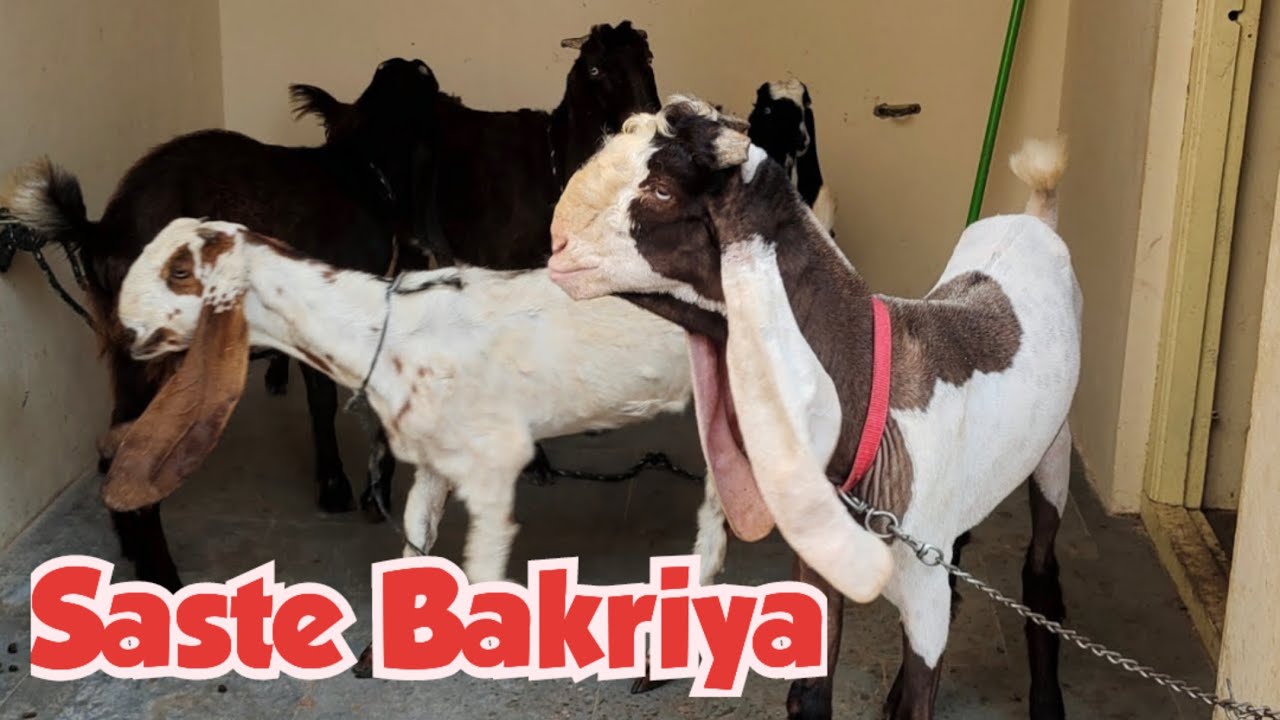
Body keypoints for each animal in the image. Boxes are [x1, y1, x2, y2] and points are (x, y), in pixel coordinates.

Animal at [0, 59, 440, 591]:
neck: (360, 169)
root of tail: (102, 231)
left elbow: (318, 401)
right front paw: (361, 491)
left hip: (125, 353)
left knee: (113, 443)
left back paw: (133, 550)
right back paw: (161, 574)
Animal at [548, 97, 1078, 720]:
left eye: (660, 190)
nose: (557, 247)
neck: (870, 392)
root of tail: (1034, 215)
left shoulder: (922, 593)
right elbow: (809, 694)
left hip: (1056, 448)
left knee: (1041, 566)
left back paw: (1046, 698)